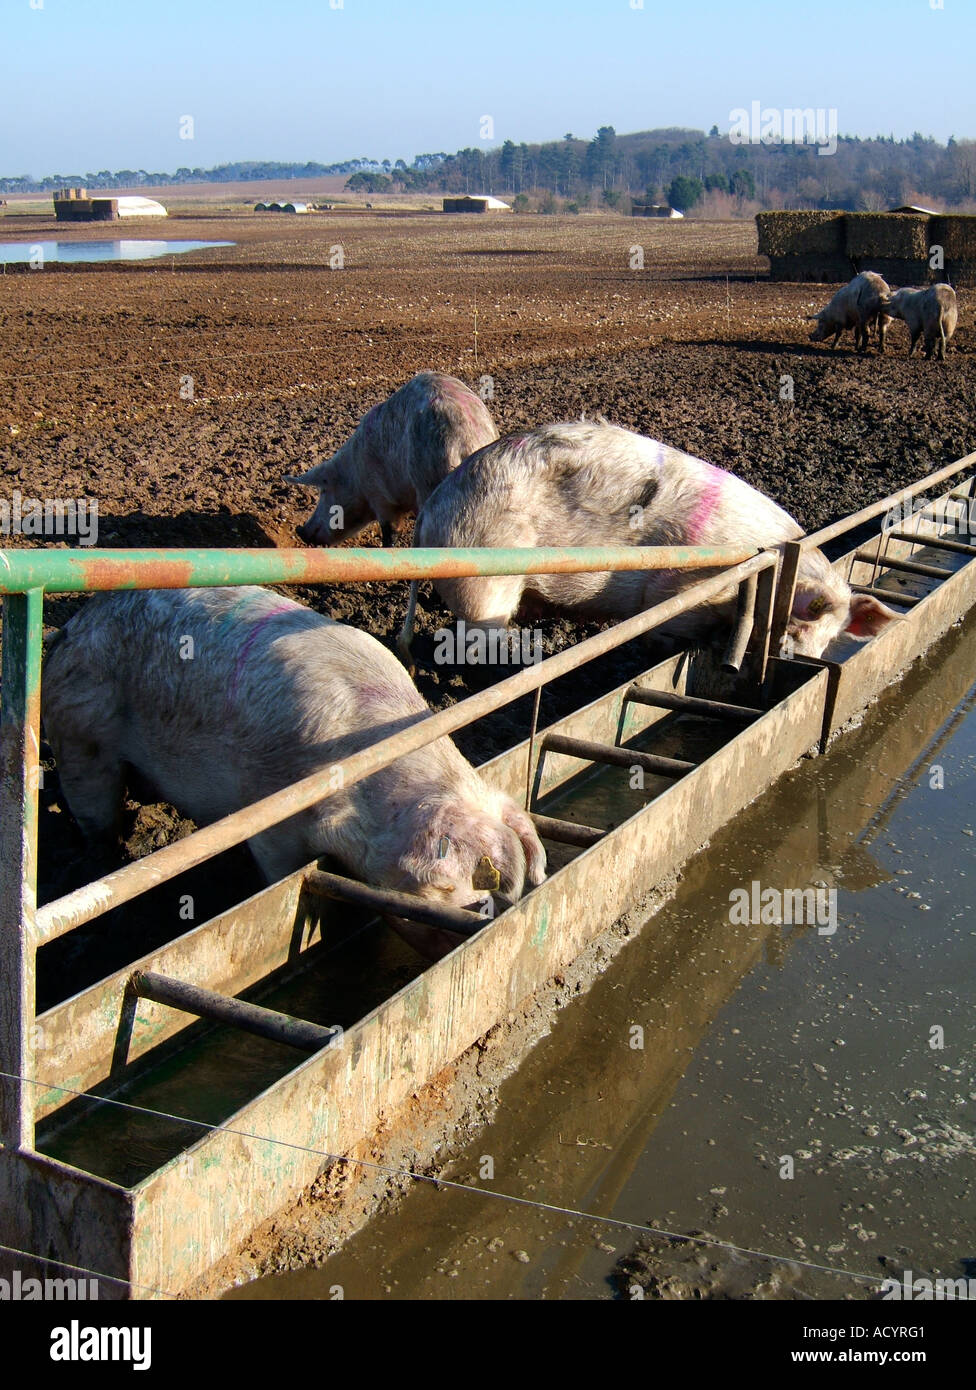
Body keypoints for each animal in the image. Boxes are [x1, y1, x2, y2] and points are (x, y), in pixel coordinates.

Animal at [43, 587, 545, 959]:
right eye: (458, 890)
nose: (484, 930)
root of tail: (73, 626)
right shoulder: (270, 814)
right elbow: (281, 876)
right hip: (80, 737)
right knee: (96, 825)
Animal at [286, 371, 498, 546]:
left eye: (323, 490)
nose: (301, 531)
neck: (354, 475)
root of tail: (467, 439)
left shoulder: (379, 495)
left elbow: (390, 532)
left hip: (427, 479)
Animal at [400, 420, 900, 662]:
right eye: (804, 623)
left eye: (832, 636)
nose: (805, 659)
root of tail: (433, 507)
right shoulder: (677, 594)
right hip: (483, 583)